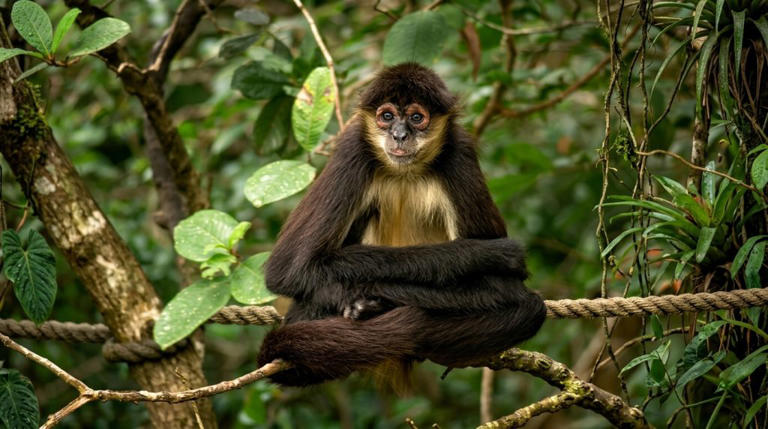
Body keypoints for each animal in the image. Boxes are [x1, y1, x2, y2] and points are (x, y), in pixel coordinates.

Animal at [257, 63, 546, 386]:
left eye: (417, 118)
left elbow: (499, 287)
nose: (398, 135)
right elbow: (289, 268)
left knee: (529, 309)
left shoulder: (459, 151)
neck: (404, 171)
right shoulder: (352, 147)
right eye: (387, 116)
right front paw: (486, 254)